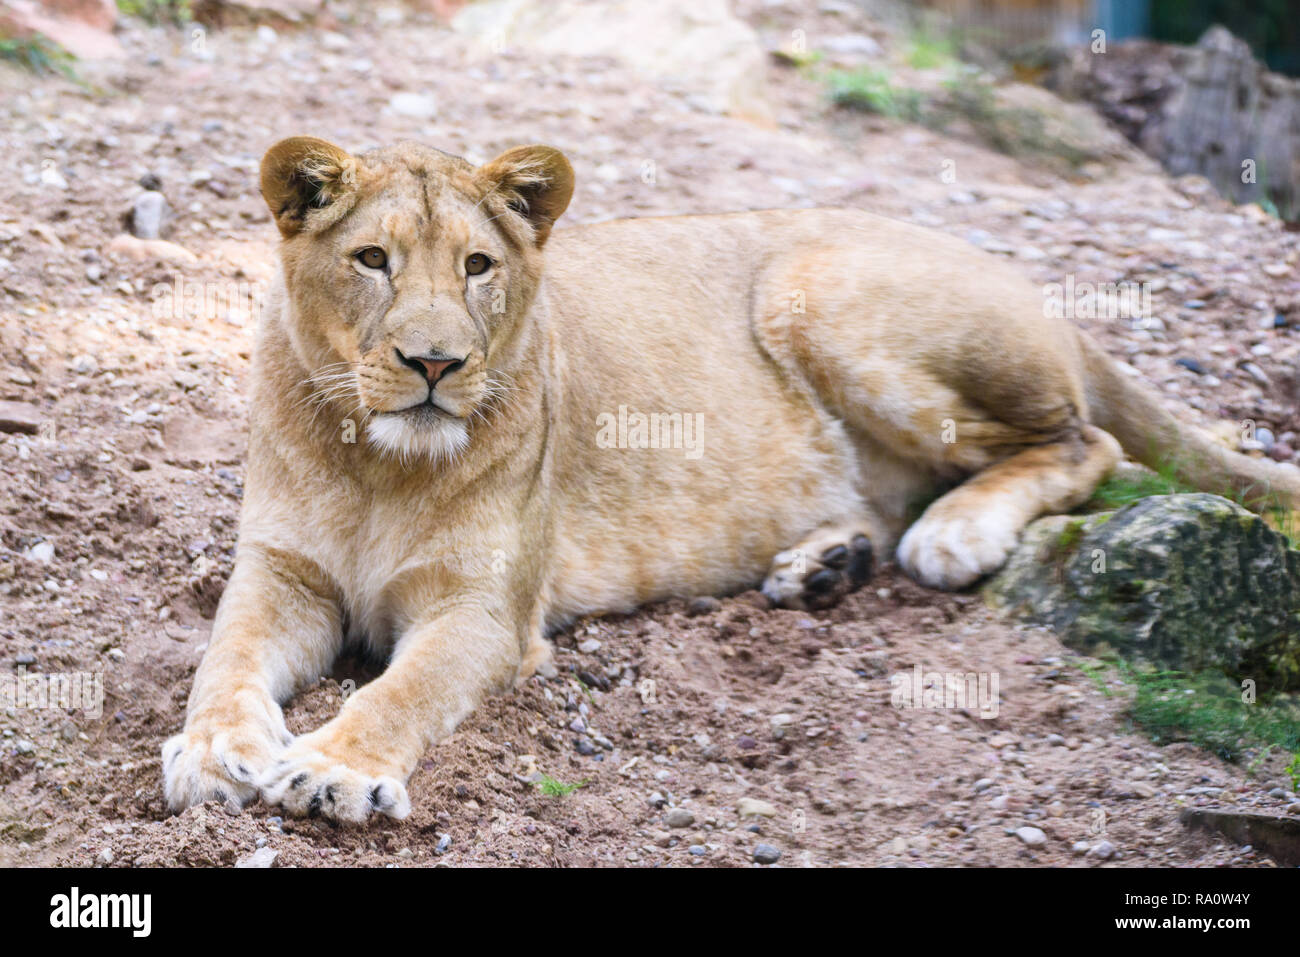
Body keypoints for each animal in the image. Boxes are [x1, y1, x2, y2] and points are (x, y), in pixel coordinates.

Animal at [161, 137, 1300, 822]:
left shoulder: (487, 613)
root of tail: (1031, 284)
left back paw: (955, 532)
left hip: (821, 290)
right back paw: (831, 562)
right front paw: (214, 752)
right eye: (372, 260)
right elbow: (225, 658)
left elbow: (401, 691)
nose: (434, 363)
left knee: (1085, 441)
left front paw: (332, 769)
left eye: (478, 267)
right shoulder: (280, 574)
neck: (376, 463)